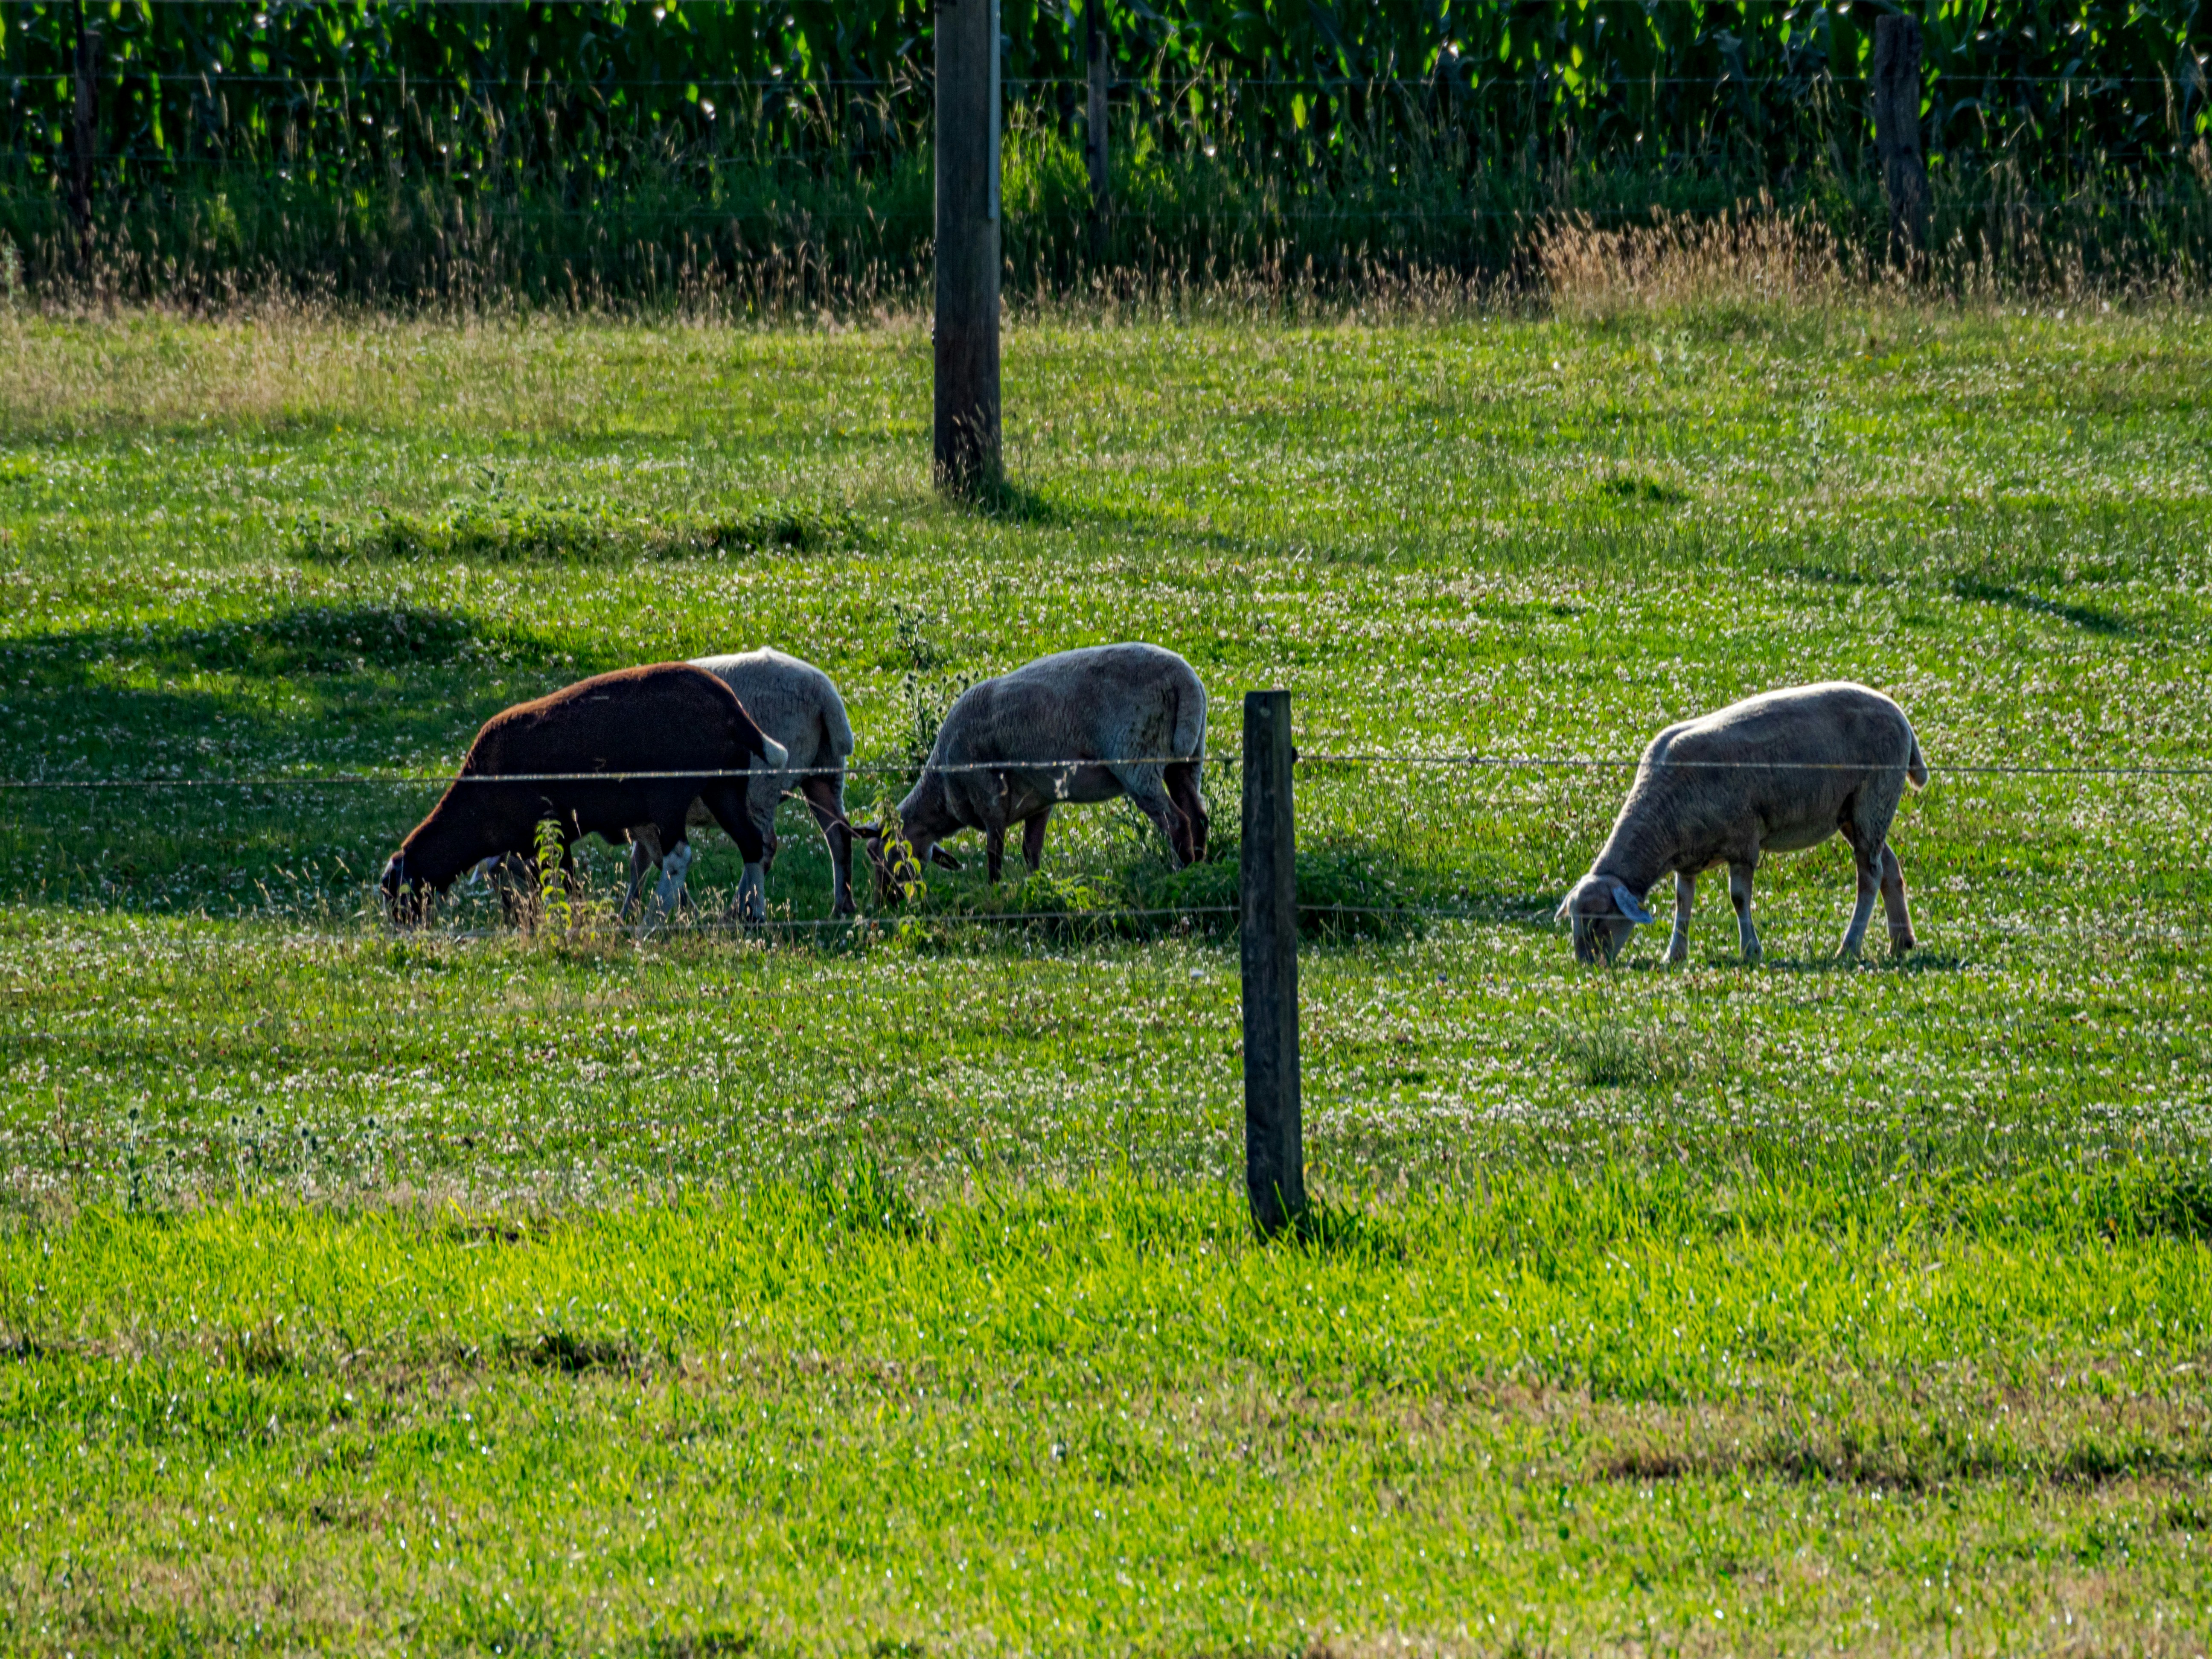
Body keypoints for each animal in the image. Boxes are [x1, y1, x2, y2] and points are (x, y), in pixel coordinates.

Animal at [380, 663, 788, 925]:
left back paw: (652, 922)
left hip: (669, 795)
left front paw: (563, 924)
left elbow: (557, 884)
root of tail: (732, 710)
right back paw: (755, 916)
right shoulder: (548, 838)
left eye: (395, 894)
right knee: (751, 843)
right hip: (725, 785)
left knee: (677, 858)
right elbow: (562, 884)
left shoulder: (542, 836)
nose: (403, 929)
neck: (475, 807)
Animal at [623, 647, 858, 919]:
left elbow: (655, 860)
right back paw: (842, 908)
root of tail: (824, 692)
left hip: (761, 783)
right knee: (838, 832)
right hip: (825, 770)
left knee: (763, 845)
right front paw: (631, 913)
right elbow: (640, 863)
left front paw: (681, 910)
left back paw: (744, 910)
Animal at [856, 643, 1208, 902]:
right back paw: (1201, 869)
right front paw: (1036, 889)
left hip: (1137, 757)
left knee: (1177, 821)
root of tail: (1186, 680)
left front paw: (995, 894)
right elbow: (1031, 852)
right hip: (1187, 757)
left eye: (878, 855)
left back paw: (1181, 872)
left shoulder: (989, 797)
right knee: (1197, 815)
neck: (941, 790)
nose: (883, 903)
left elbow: (995, 854)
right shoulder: (1041, 801)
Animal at [1556, 681, 1928, 966]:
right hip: (1854, 812)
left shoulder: (1743, 842)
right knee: (1888, 865)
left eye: (1600, 918)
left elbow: (1738, 899)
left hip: (1874, 796)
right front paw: (1674, 955)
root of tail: (1899, 713)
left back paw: (1849, 947)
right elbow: (1683, 903)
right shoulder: (1688, 858)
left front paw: (1751, 951)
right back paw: (1901, 942)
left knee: (1869, 875)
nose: (1587, 965)